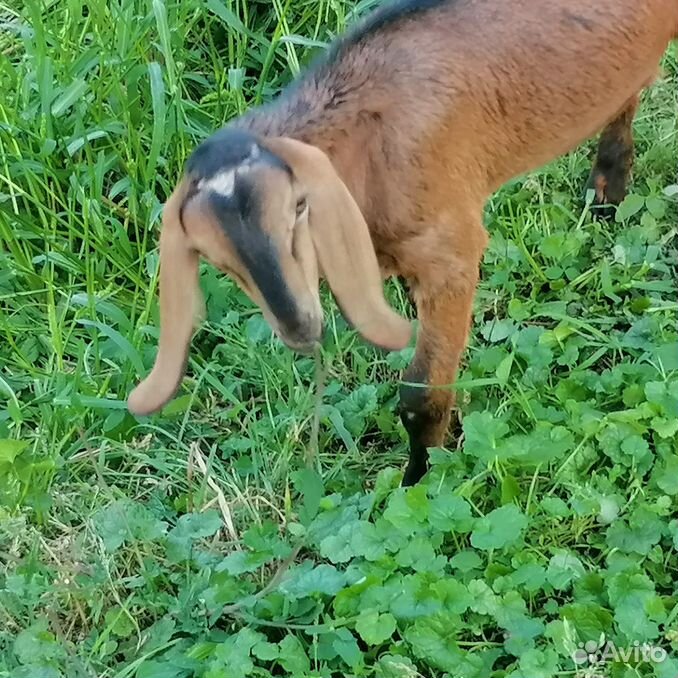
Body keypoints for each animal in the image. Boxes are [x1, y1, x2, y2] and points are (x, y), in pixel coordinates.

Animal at [127, 0, 678, 488]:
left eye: (298, 209)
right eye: (216, 259)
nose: (298, 326)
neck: (367, 142)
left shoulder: (451, 253)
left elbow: (420, 393)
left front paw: (421, 479)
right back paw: (607, 193)